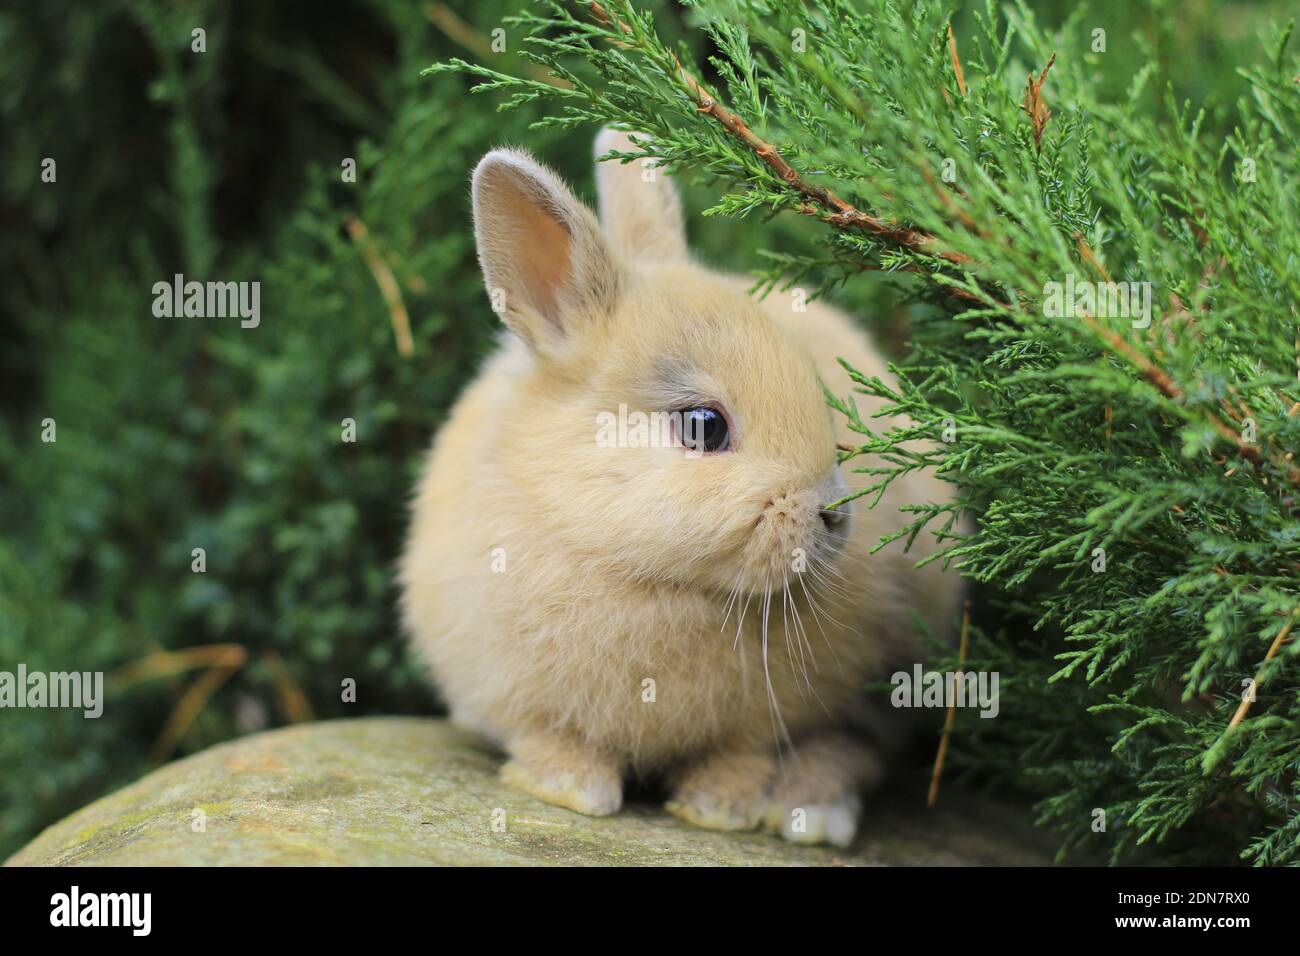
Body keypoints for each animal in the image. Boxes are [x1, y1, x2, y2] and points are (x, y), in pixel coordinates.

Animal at [399, 127, 964, 848]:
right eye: (703, 427)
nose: (833, 516)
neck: (651, 579)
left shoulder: (764, 726)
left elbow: (744, 756)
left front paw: (719, 808)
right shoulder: (515, 697)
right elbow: (552, 739)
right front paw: (569, 789)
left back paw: (810, 813)